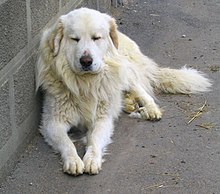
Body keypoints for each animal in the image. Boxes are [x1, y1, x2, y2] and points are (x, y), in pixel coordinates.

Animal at [36, 7, 211, 175]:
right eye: (74, 39)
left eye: (96, 38)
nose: (86, 61)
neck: (85, 84)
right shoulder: (53, 123)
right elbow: (67, 143)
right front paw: (73, 161)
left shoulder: (102, 119)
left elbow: (94, 140)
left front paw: (92, 159)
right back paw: (128, 104)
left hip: (126, 71)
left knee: (142, 92)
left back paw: (150, 109)